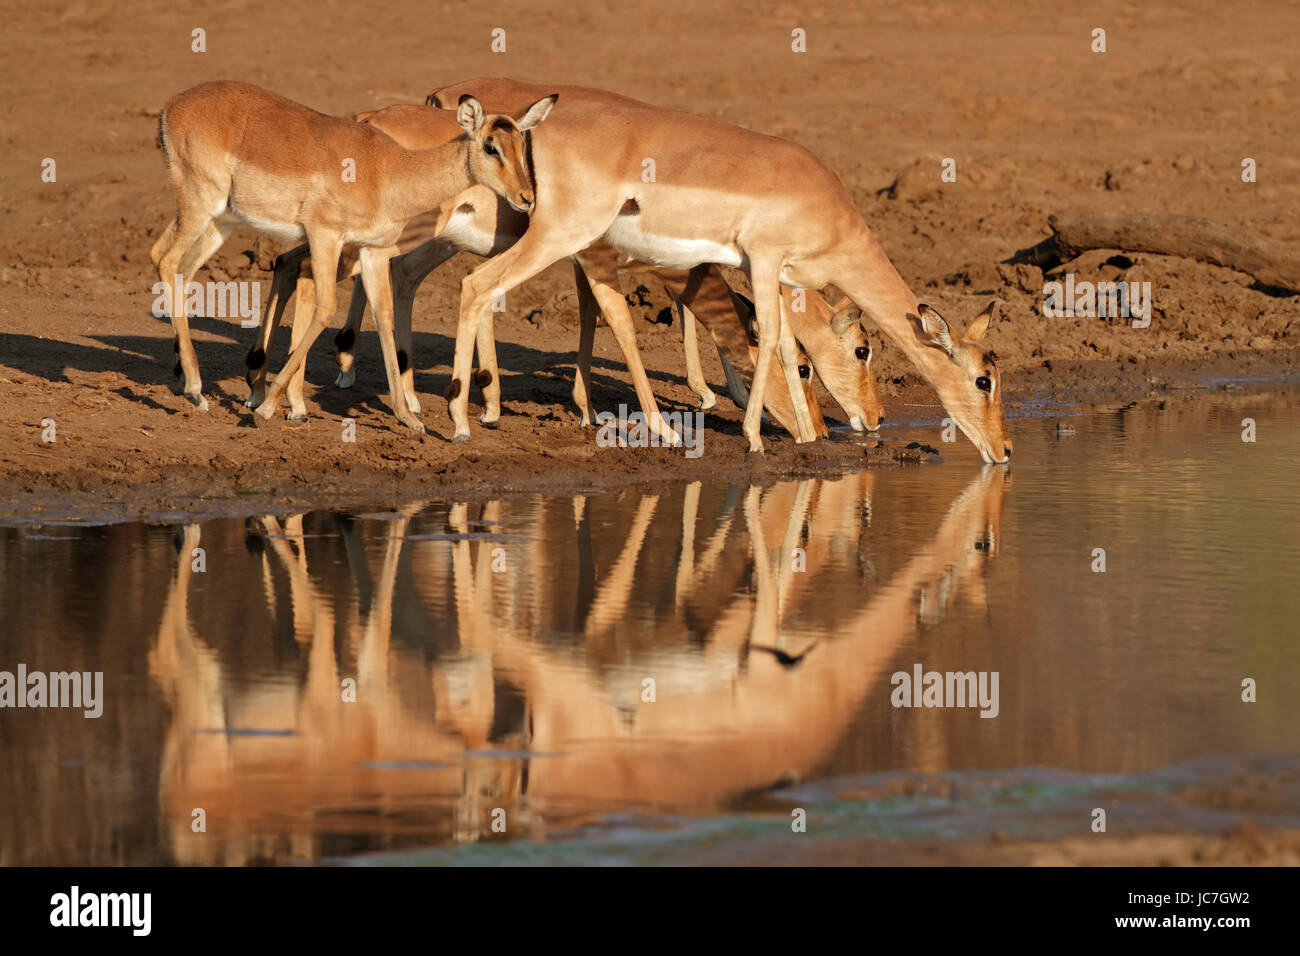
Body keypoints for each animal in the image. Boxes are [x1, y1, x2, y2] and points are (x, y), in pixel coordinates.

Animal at [149, 80, 556, 433]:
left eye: (521, 145)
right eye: (490, 146)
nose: (527, 198)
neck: (388, 170)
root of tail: (173, 105)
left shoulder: (372, 250)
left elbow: (384, 314)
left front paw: (409, 418)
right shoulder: (325, 237)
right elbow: (326, 308)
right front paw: (266, 410)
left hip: (222, 219)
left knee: (178, 266)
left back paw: (197, 382)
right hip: (202, 204)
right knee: (166, 259)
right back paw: (199, 391)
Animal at [429, 78, 1012, 462]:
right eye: (984, 379)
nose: (1005, 450)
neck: (827, 203)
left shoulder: (770, 272)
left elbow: (782, 344)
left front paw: (803, 435)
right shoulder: (766, 260)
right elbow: (773, 338)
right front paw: (755, 437)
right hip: (559, 235)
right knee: (476, 285)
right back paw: (464, 422)